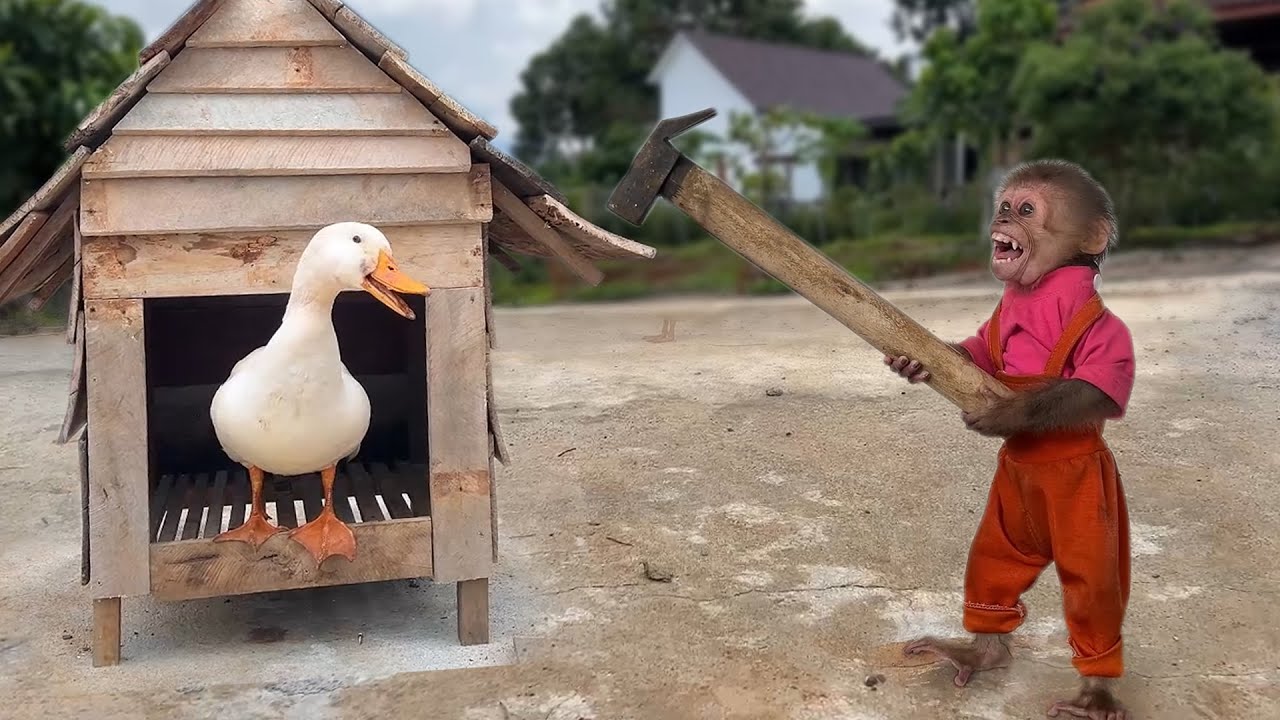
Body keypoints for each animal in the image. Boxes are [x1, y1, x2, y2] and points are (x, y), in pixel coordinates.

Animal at [885, 159, 1136, 720]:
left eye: (1025, 208)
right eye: (1005, 204)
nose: (1000, 215)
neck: (1039, 289)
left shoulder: (1104, 332)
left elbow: (1090, 388)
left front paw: (1006, 412)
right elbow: (977, 349)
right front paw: (911, 363)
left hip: (1091, 510)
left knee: (1095, 595)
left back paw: (1096, 694)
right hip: (1007, 519)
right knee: (991, 573)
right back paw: (979, 652)